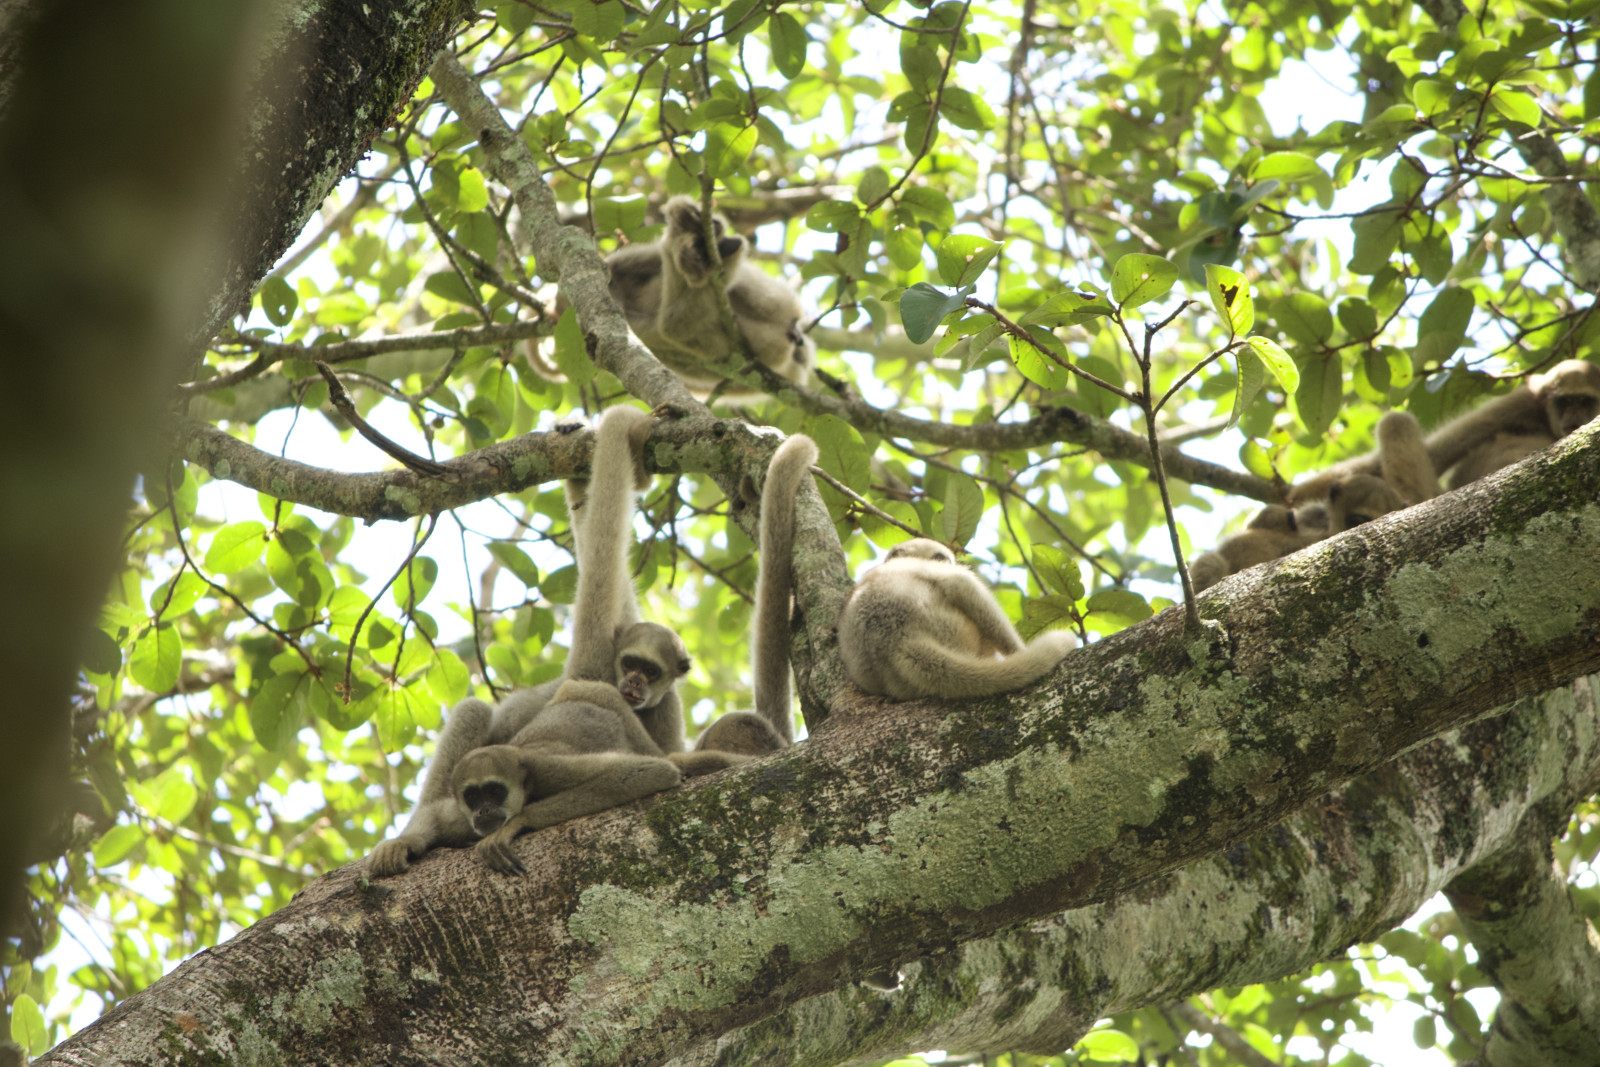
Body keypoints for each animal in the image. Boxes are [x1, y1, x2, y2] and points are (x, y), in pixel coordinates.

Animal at [837, 539, 1077, 702]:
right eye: (939, 557)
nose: (947, 560)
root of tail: (900, 642)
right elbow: (960, 584)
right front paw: (1021, 651)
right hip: (953, 626)